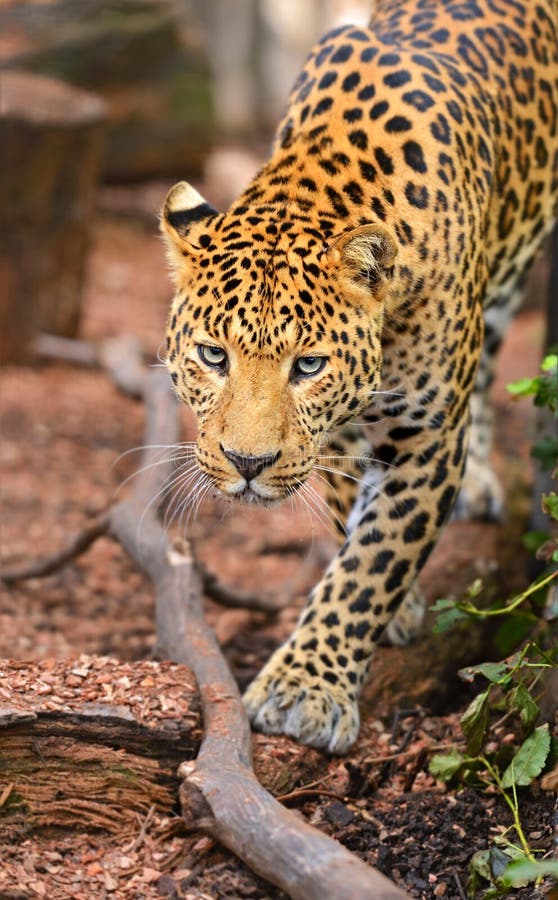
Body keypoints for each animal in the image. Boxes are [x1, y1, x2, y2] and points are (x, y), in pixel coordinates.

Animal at [161, 0, 558, 753]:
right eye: (214, 356)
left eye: (308, 365)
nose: (246, 464)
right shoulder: (338, 434)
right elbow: (354, 510)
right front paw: (394, 609)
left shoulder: (427, 437)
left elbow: (374, 562)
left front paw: (305, 690)